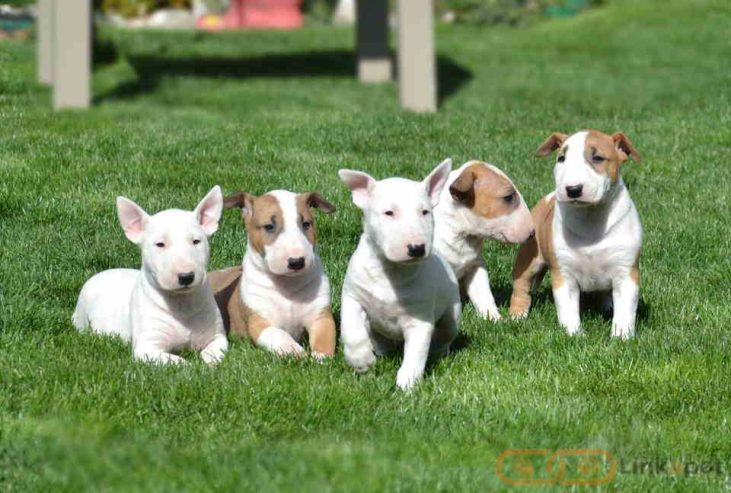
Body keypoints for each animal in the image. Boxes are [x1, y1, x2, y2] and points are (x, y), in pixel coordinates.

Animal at [73, 186, 229, 364]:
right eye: (160, 244)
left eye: (196, 241)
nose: (186, 276)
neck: (181, 304)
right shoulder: (147, 348)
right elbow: (177, 361)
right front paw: (190, 365)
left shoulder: (217, 336)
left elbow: (214, 351)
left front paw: (208, 362)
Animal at [209, 189, 338, 358]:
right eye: (269, 226)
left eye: (306, 224)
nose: (296, 261)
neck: (287, 284)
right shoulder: (259, 321)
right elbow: (278, 334)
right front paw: (295, 351)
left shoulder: (320, 316)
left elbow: (325, 335)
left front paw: (320, 357)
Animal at [338, 160, 464, 390]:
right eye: (389, 212)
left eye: (425, 212)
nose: (417, 248)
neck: (391, 271)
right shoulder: (353, 297)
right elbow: (352, 333)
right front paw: (362, 362)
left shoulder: (420, 319)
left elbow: (417, 351)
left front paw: (407, 383)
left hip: (452, 313)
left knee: (444, 337)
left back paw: (439, 353)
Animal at [512, 129, 644, 338]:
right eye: (561, 158)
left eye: (598, 158)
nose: (572, 189)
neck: (590, 217)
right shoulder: (564, 275)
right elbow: (567, 310)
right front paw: (573, 335)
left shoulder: (626, 272)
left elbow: (625, 310)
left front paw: (621, 336)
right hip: (529, 256)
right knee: (521, 285)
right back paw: (517, 315)